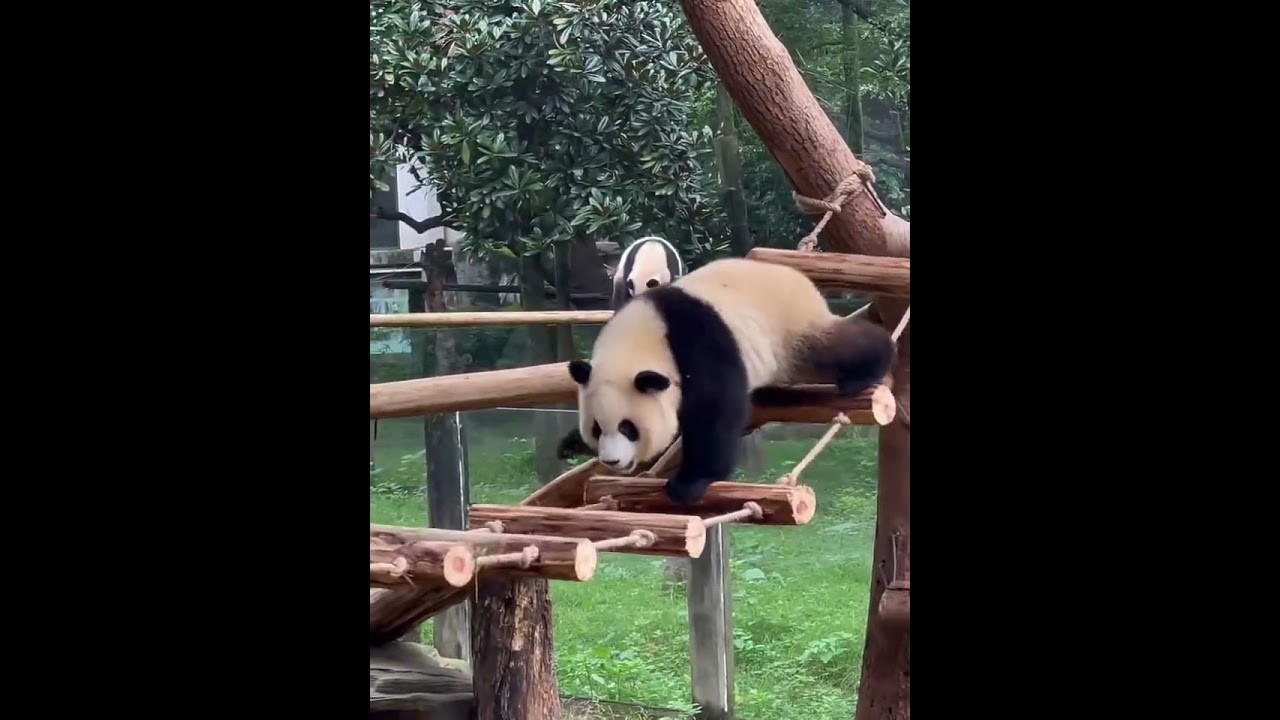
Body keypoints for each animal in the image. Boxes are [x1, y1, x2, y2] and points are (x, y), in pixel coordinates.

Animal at [563, 256, 895, 506]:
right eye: (596, 428)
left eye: (628, 428)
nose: (612, 461)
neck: (643, 339)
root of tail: (801, 280)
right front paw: (570, 444)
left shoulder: (697, 346)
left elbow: (716, 409)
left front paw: (689, 483)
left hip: (789, 329)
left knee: (833, 348)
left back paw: (868, 368)